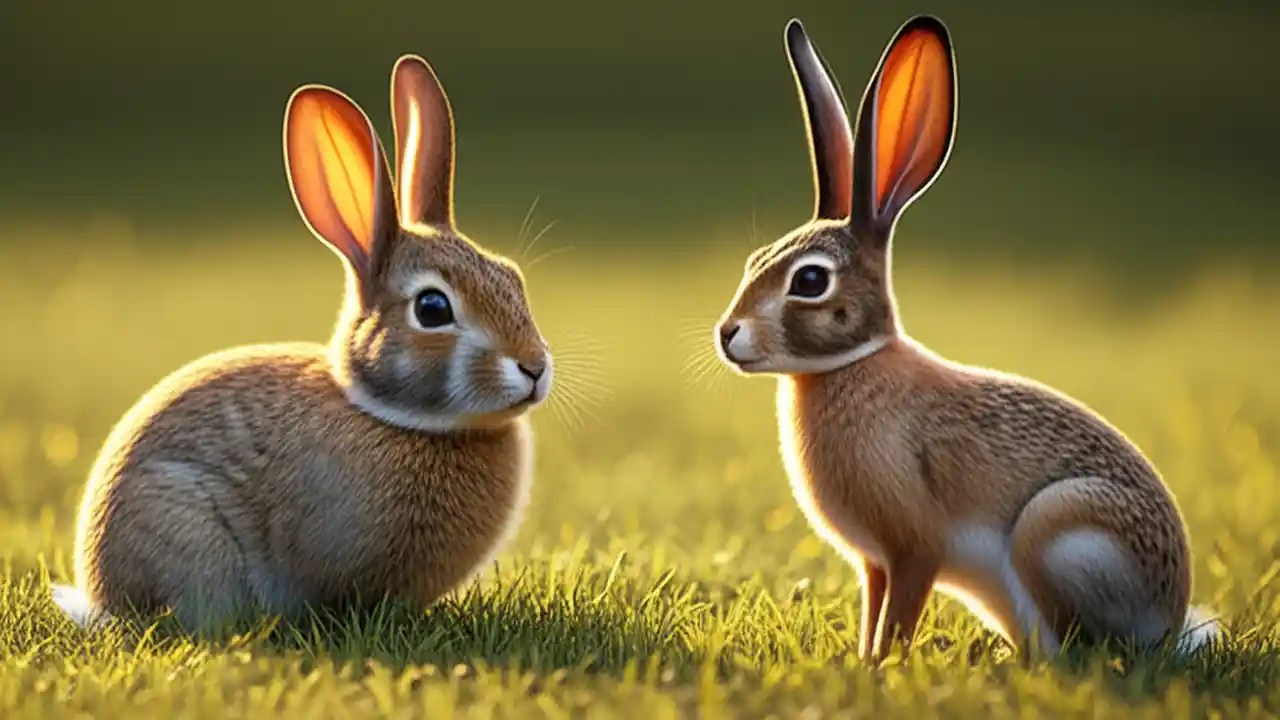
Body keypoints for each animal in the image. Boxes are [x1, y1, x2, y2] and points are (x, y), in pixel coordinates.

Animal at [714, 16, 1217, 661]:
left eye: (809, 281)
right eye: (756, 260)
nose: (728, 335)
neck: (852, 364)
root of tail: (1168, 621)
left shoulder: (916, 547)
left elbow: (899, 614)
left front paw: (880, 668)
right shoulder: (875, 563)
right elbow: (873, 610)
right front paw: (862, 661)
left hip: (1058, 534)